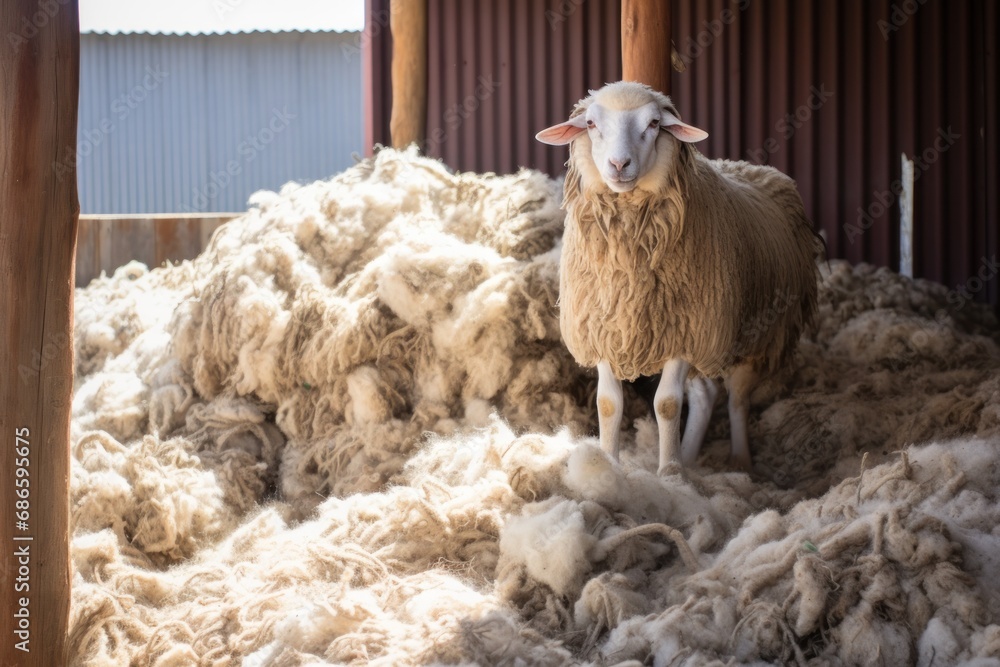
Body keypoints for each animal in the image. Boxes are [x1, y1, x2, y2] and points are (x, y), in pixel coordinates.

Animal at [536, 81, 823, 475]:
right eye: (591, 124)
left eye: (655, 123)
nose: (619, 164)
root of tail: (755, 168)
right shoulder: (606, 327)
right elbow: (608, 404)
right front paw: (611, 465)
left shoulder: (687, 329)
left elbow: (667, 404)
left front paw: (668, 473)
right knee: (706, 394)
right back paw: (688, 459)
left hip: (756, 331)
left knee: (737, 397)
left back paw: (738, 460)